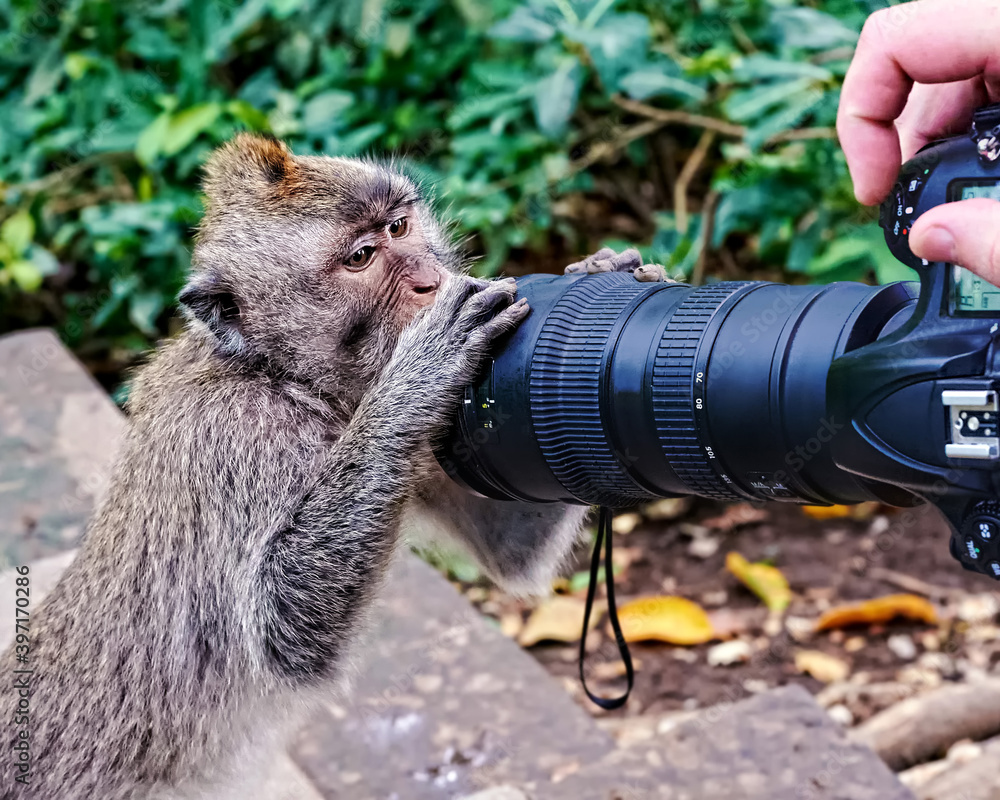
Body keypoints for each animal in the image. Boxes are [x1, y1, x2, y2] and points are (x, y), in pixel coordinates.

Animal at [0, 134, 666, 799]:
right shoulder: (241, 437)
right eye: (362, 257)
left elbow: (508, 547)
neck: (285, 377)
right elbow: (286, 630)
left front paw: (601, 271)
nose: (431, 282)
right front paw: (420, 371)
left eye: (399, 226)